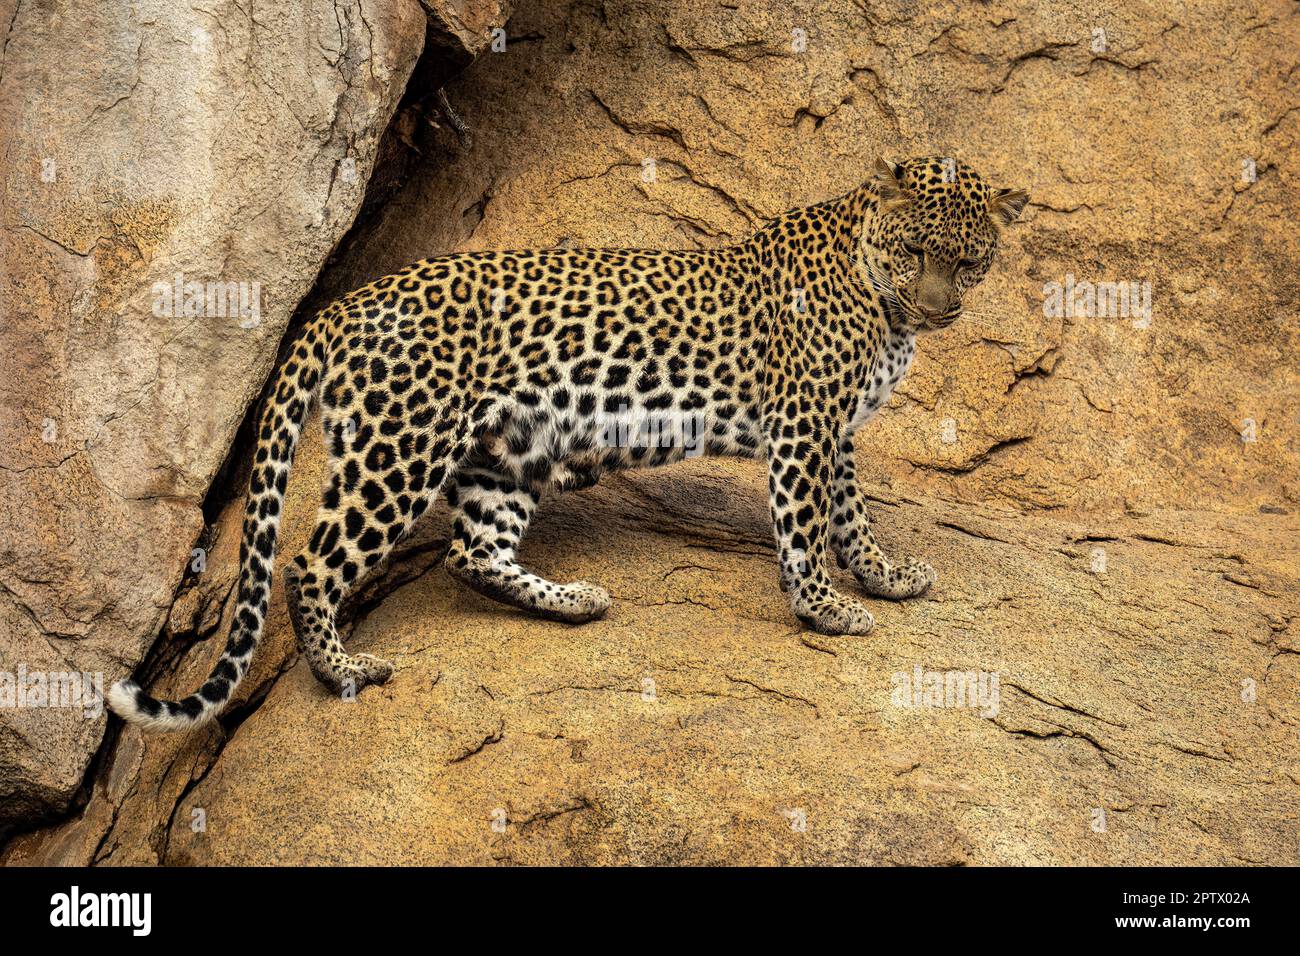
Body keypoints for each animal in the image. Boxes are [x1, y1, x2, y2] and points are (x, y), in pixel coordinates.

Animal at [109, 156, 1028, 731]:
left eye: (971, 260)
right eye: (916, 250)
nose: (943, 309)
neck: (885, 305)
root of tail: (339, 306)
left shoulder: (833, 430)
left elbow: (851, 514)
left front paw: (883, 577)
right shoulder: (804, 422)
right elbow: (804, 526)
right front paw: (825, 609)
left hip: (505, 454)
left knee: (471, 553)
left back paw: (572, 601)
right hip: (399, 450)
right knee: (309, 564)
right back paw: (344, 671)